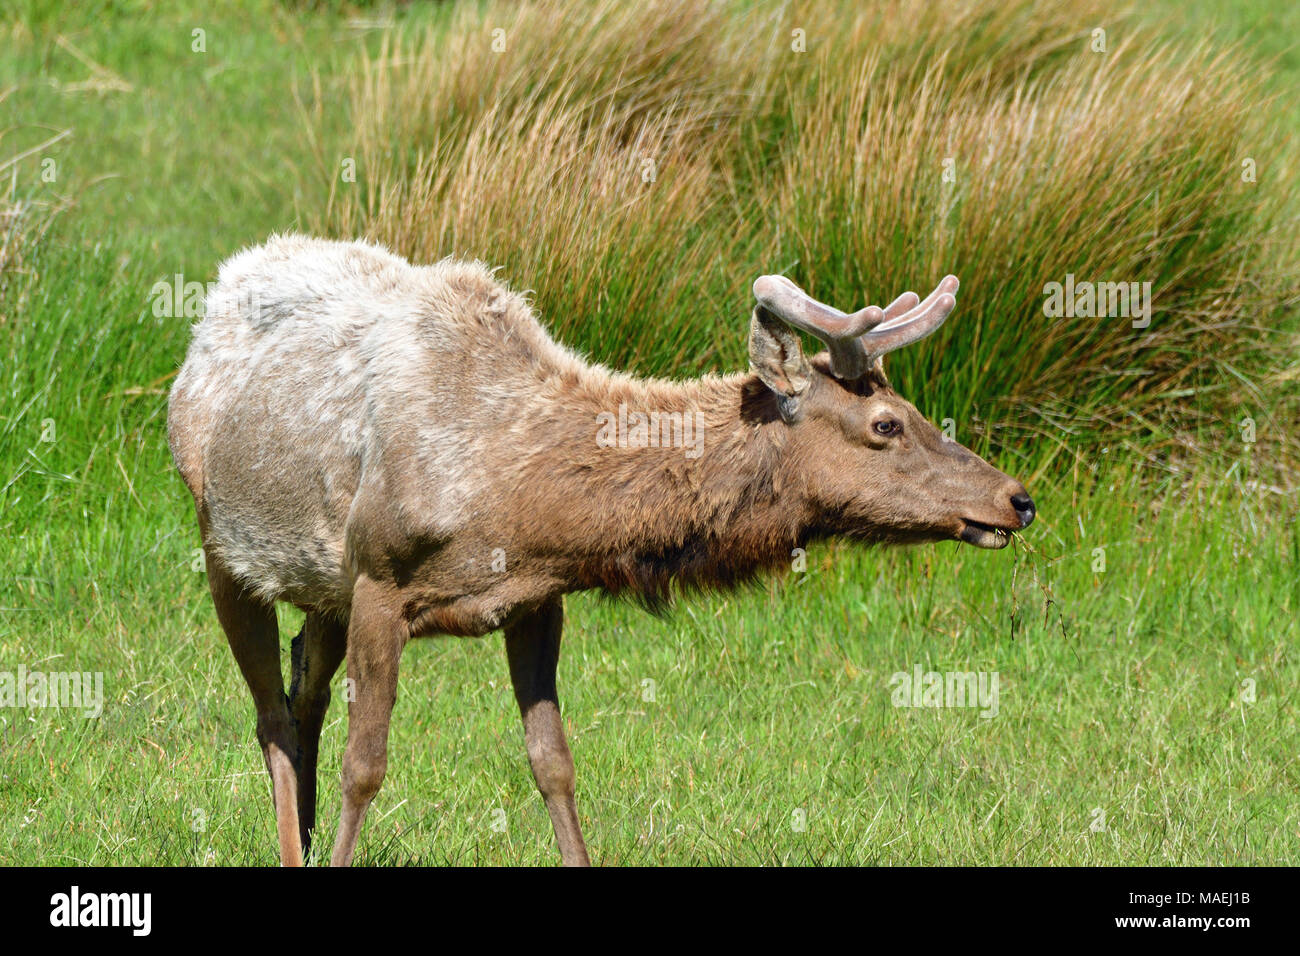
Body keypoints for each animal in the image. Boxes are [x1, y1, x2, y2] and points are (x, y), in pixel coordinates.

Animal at [167, 234, 1035, 867]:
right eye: (885, 424)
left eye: (911, 408)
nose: (1016, 499)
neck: (520, 507)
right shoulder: (381, 577)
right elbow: (367, 764)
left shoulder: (534, 598)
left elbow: (553, 762)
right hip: (223, 544)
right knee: (271, 714)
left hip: (323, 584)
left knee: (301, 687)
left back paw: (305, 840)